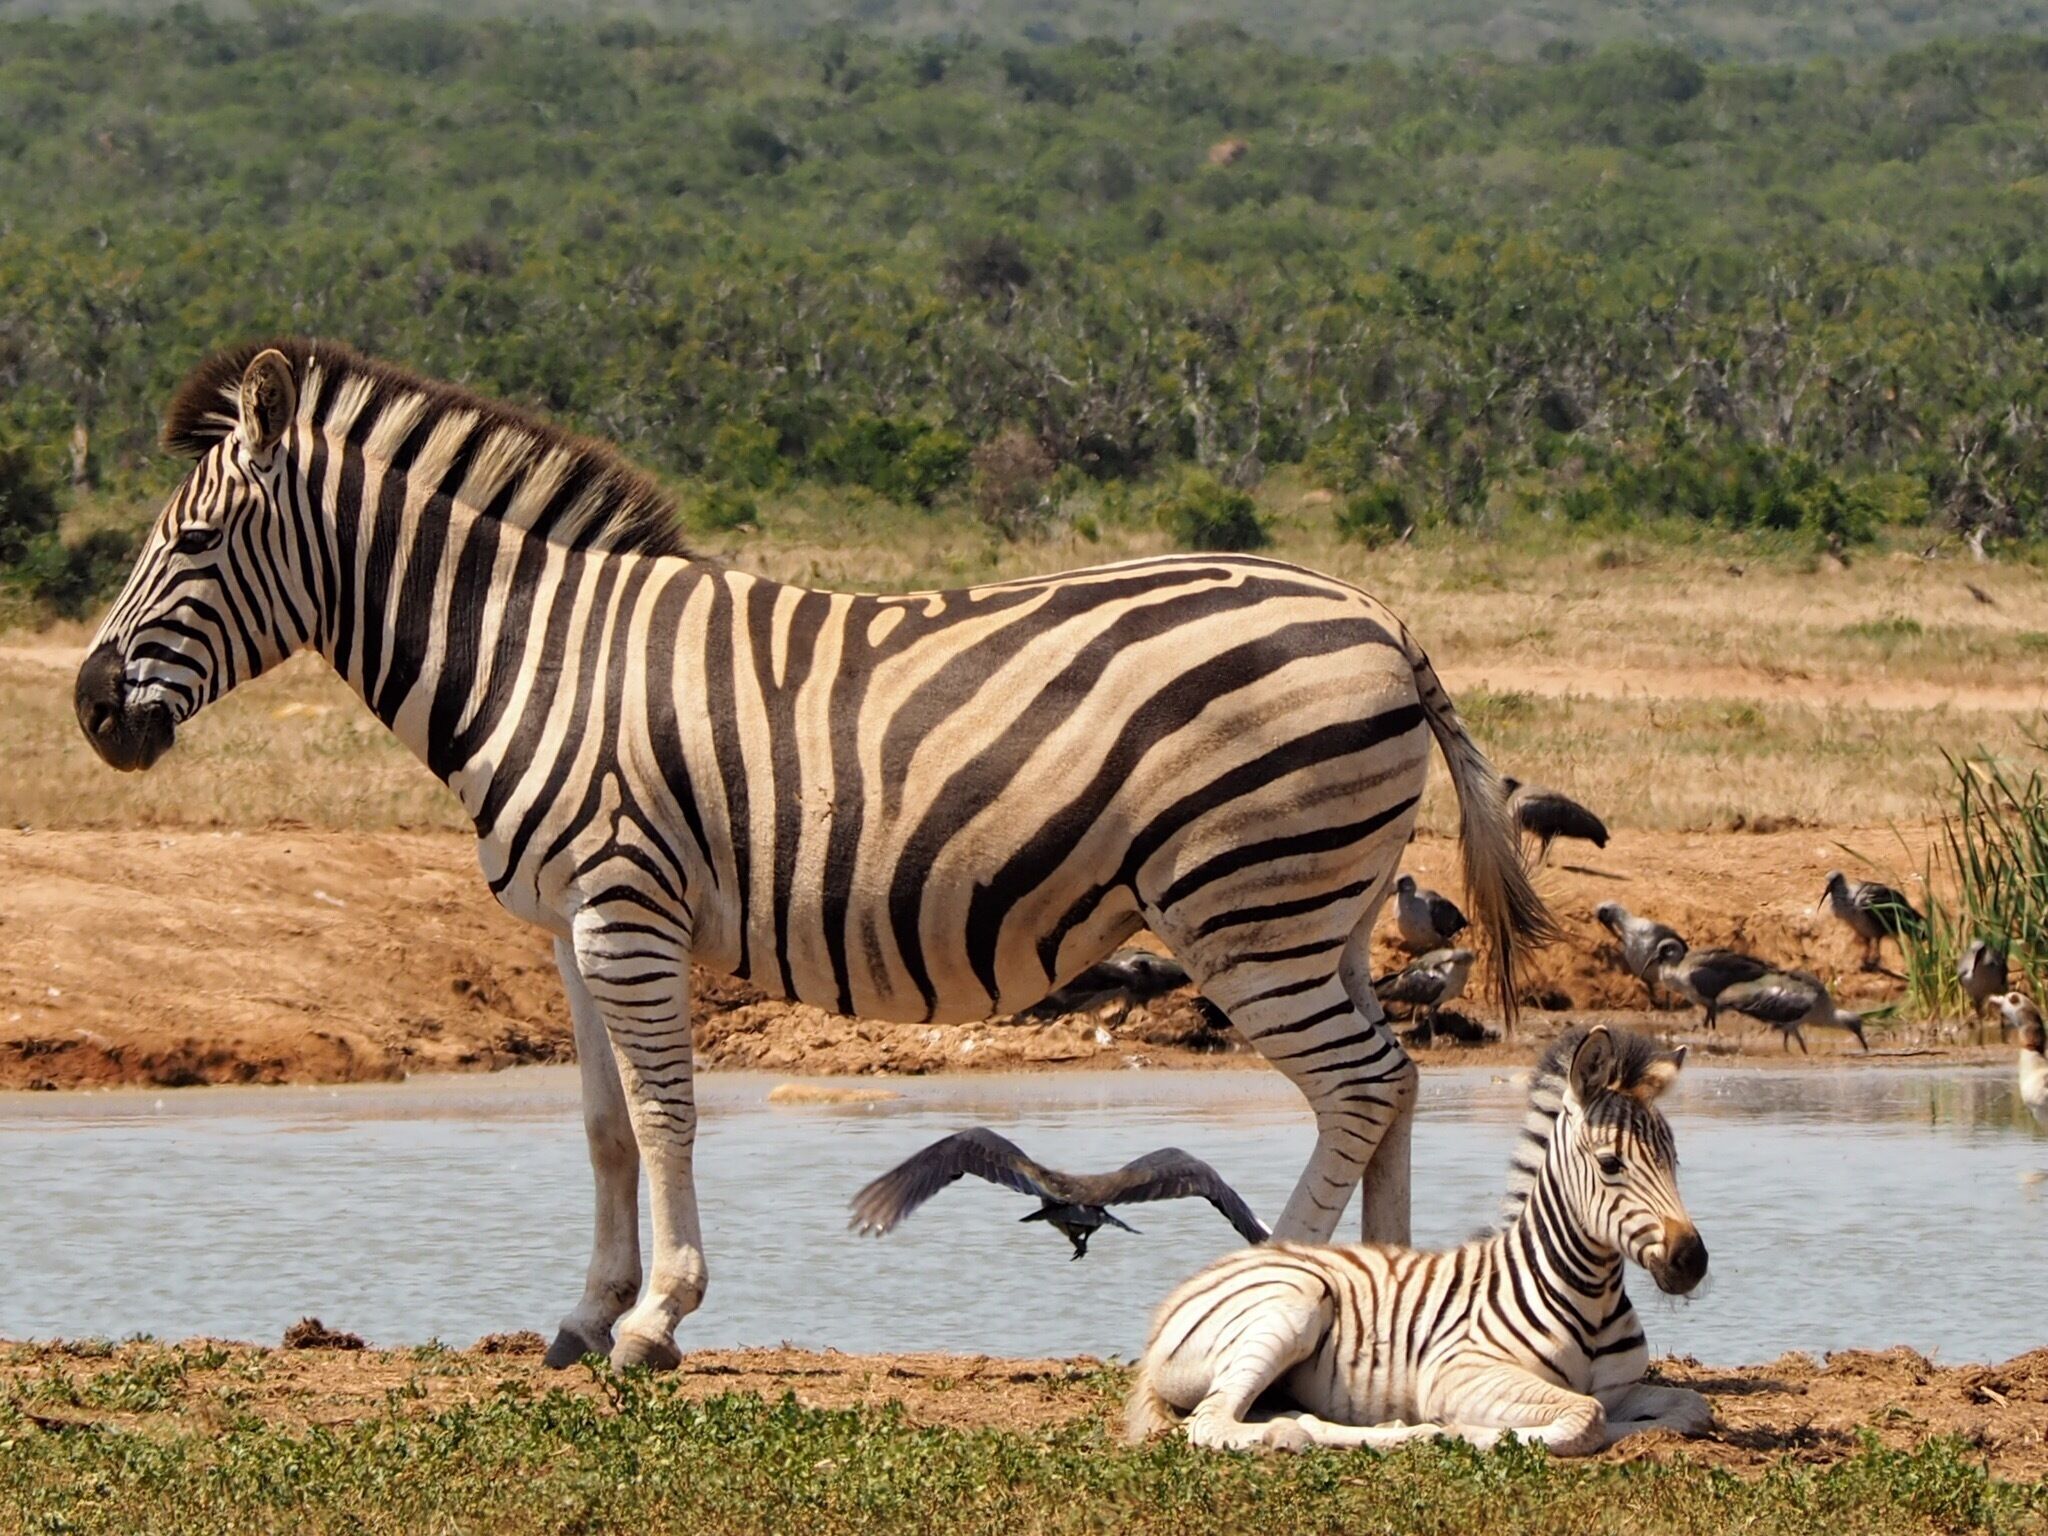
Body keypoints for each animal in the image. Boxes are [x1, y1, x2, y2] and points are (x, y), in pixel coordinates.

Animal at [72, 339, 1552, 1372]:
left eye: (191, 541)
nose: (91, 711)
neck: (534, 655)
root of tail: (1382, 618)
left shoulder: (627, 909)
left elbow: (664, 1116)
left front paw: (654, 1326)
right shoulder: (570, 924)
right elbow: (601, 1127)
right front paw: (583, 1317)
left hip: (1246, 903)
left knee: (1359, 1085)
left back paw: (1271, 1302)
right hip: (1321, 905)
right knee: (1396, 1084)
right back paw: (1370, 1315)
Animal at [1125, 1025, 1712, 1454]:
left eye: (1674, 1160)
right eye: (1611, 1164)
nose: (1692, 1260)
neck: (1590, 1297)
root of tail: (1187, 1289)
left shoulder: (1622, 1389)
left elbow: (1690, 1410)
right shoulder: (1458, 1372)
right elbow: (1585, 1417)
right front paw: (1470, 1431)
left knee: (1282, 1414)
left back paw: (1366, 1431)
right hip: (1290, 1306)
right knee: (1212, 1421)